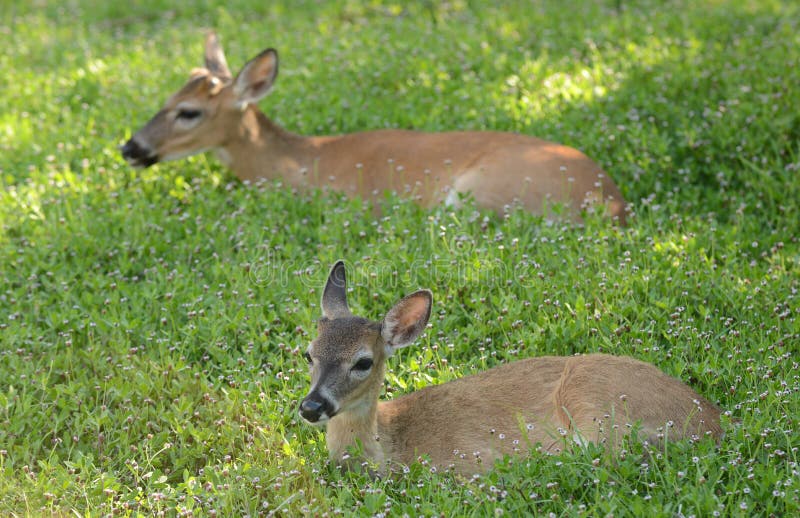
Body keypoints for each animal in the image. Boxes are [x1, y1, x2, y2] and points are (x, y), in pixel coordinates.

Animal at [121, 33, 628, 224]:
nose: (130, 147)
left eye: (188, 112)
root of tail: (612, 204)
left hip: (480, 192)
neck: (300, 162)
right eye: (165, 99)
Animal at [299, 261, 724, 475]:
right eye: (308, 353)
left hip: (597, 408)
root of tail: (714, 422)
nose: (311, 406)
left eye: (363, 362)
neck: (388, 444)